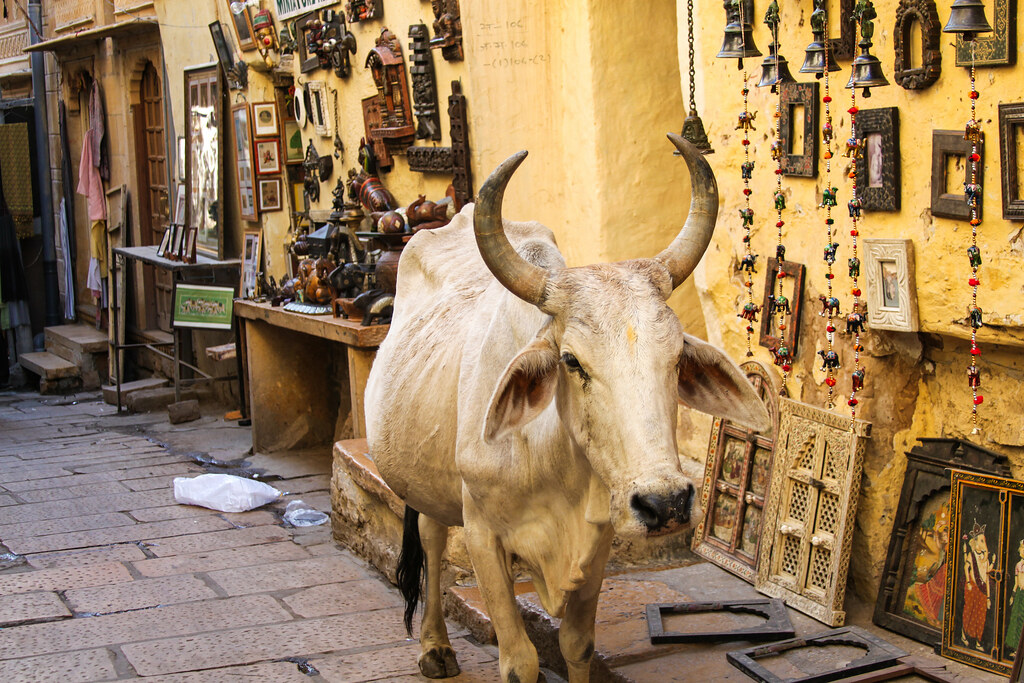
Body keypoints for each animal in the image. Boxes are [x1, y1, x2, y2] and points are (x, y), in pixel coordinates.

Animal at [364, 135, 770, 683]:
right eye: (571, 361)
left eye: (675, 356)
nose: (666, 503)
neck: (548, 458)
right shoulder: (483, 535)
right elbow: (520, 661)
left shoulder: (599, 532)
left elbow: (577, 645)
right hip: (431, 487)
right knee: (430, 540)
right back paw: (435, 647)